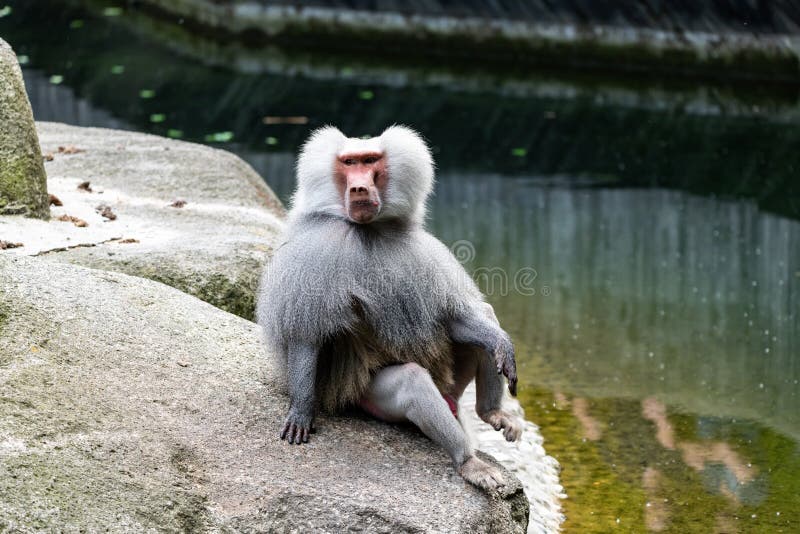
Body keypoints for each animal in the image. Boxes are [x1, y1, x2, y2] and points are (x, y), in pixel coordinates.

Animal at [256, 125, 523, 490]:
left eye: (370, 161)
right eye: (349, 162)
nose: (358, 187)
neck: (369, 230)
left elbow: (454, 320)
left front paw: (501, 345)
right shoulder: (316, 252)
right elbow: (307, 335)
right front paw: (301, 409)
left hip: (451, 384)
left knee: (484, 317)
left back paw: (491, 412)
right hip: (368, 397)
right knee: (412, 382)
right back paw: (469, 462)